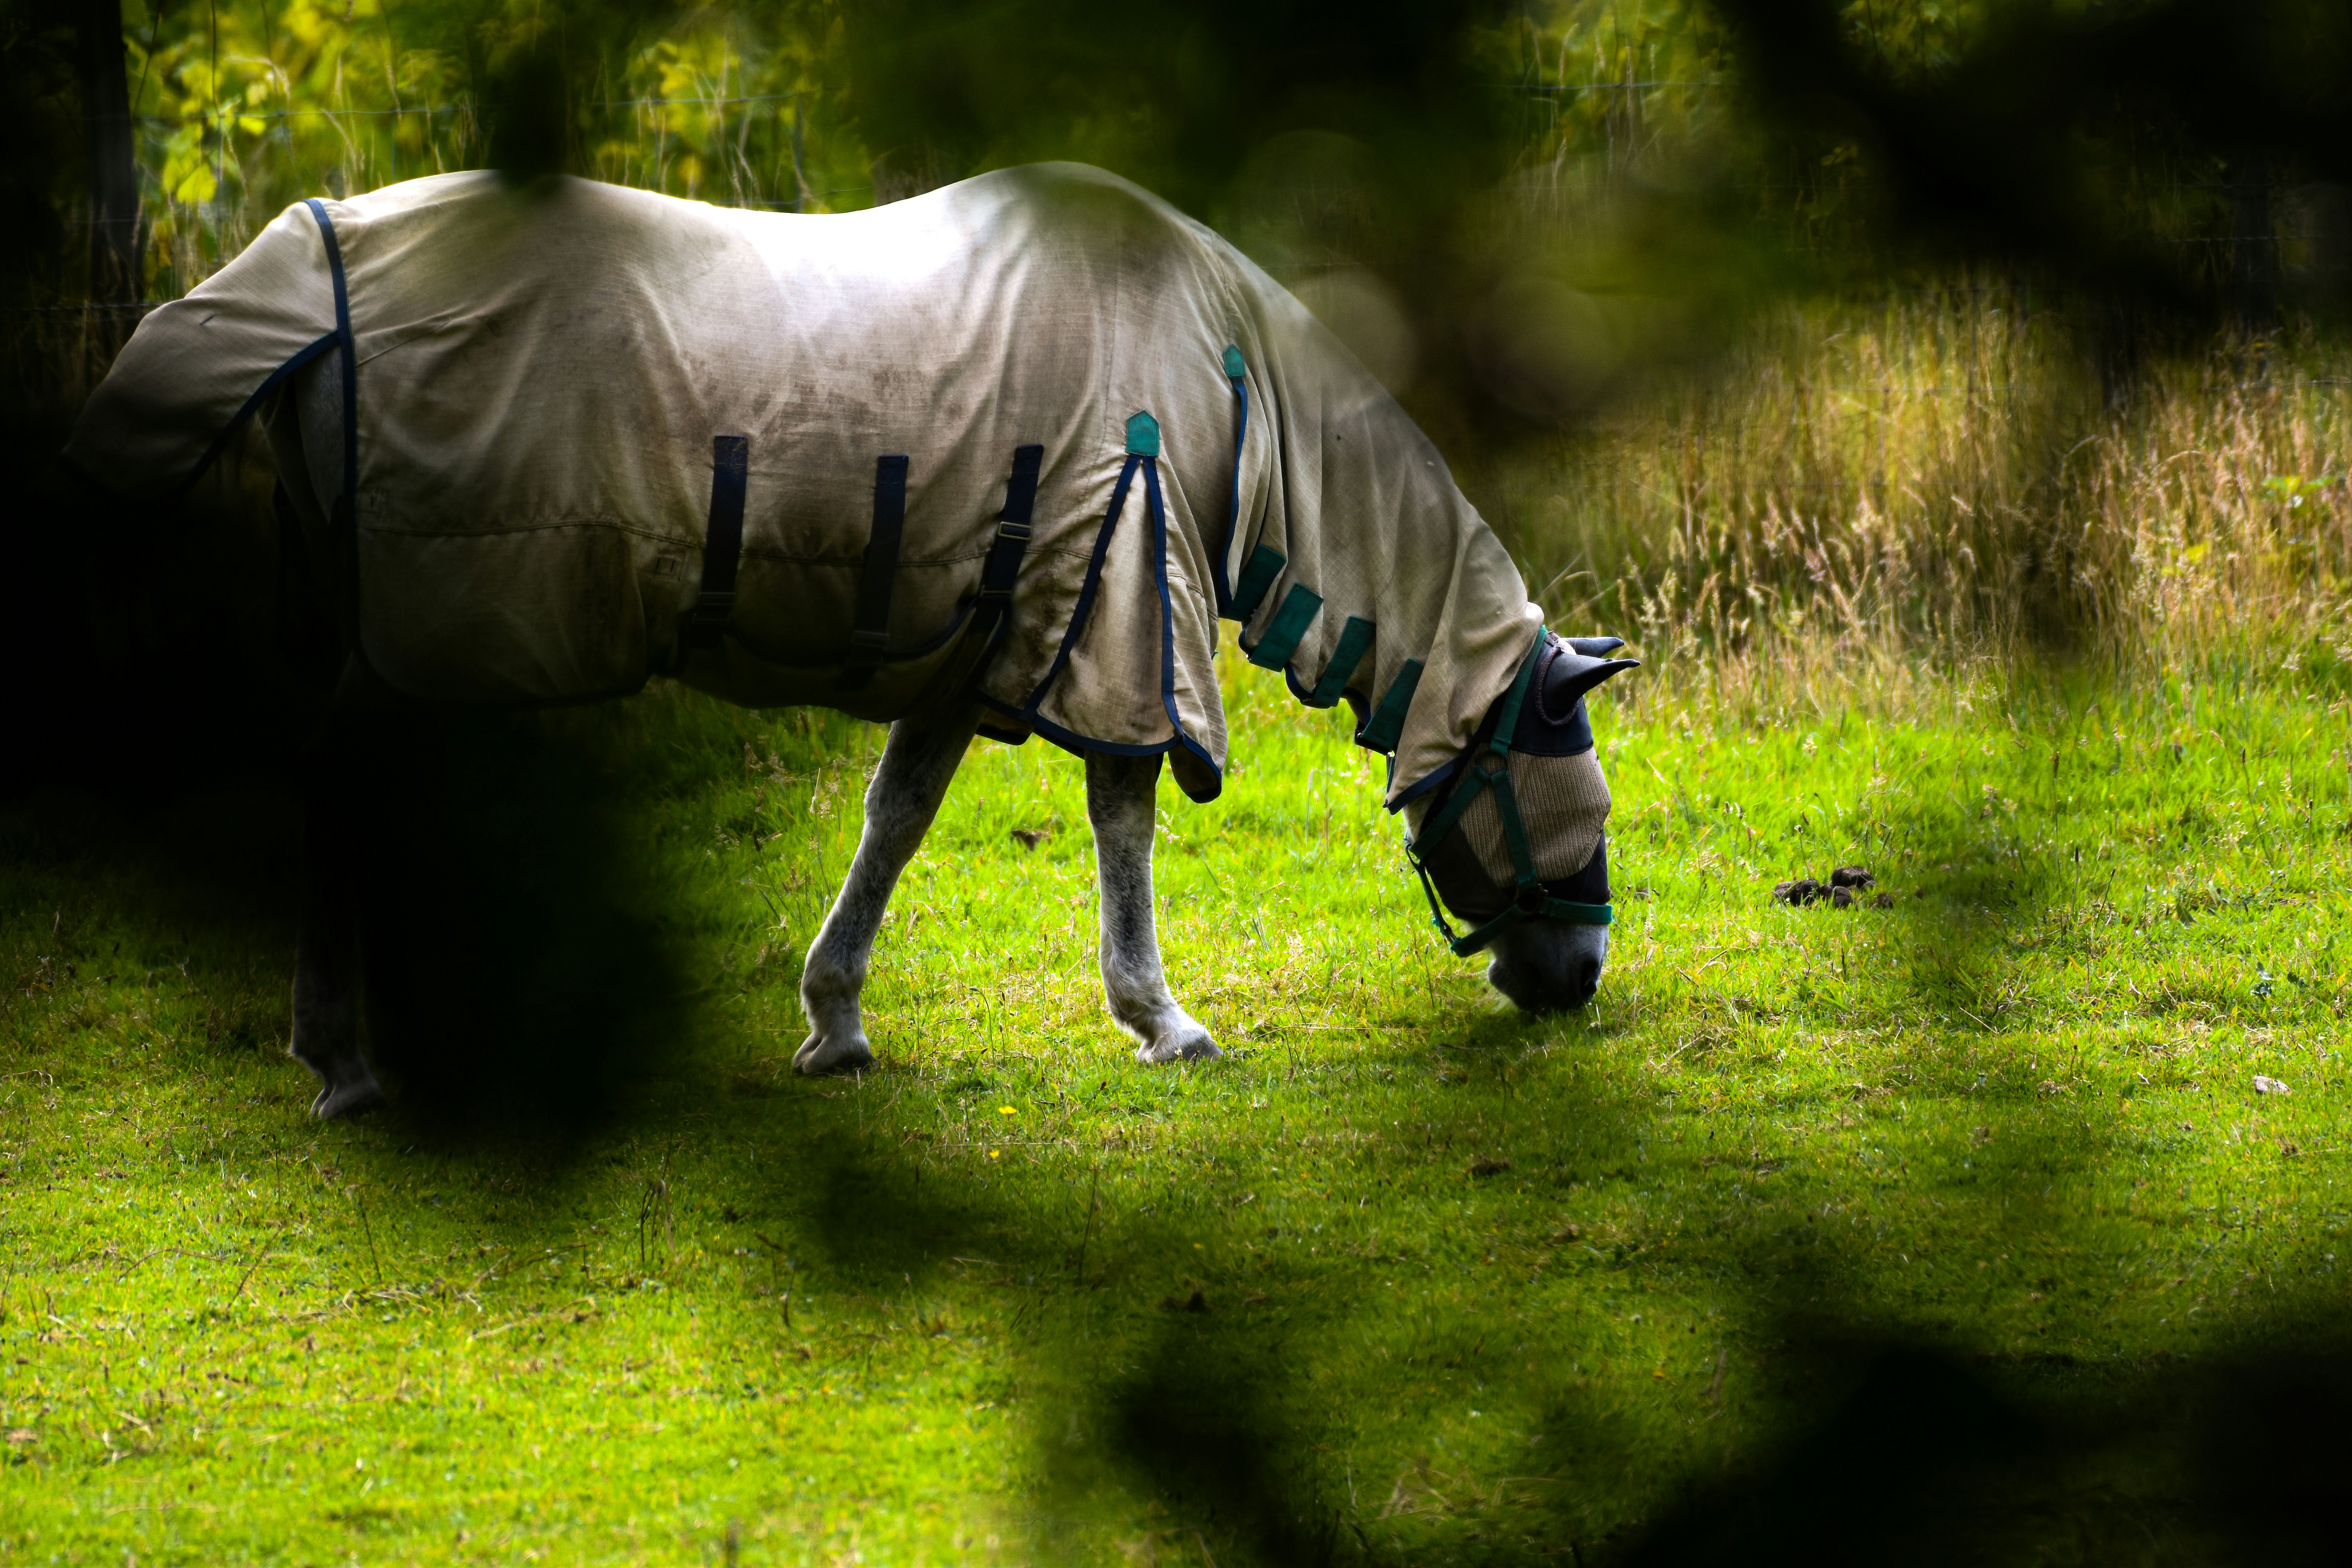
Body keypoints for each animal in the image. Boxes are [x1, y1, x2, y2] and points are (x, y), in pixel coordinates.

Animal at [62, 162, 1636, 1117]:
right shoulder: (1120, 605)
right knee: (345, 799)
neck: (1219, 379)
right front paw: (1160, 1018)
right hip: (424, 647)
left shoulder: (981, 637)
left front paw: (833, 1021)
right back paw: (346, 1060)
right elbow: (1122, 822)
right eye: (1590, 799)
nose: (1574, 981)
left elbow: (896, 820)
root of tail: (312, 257)